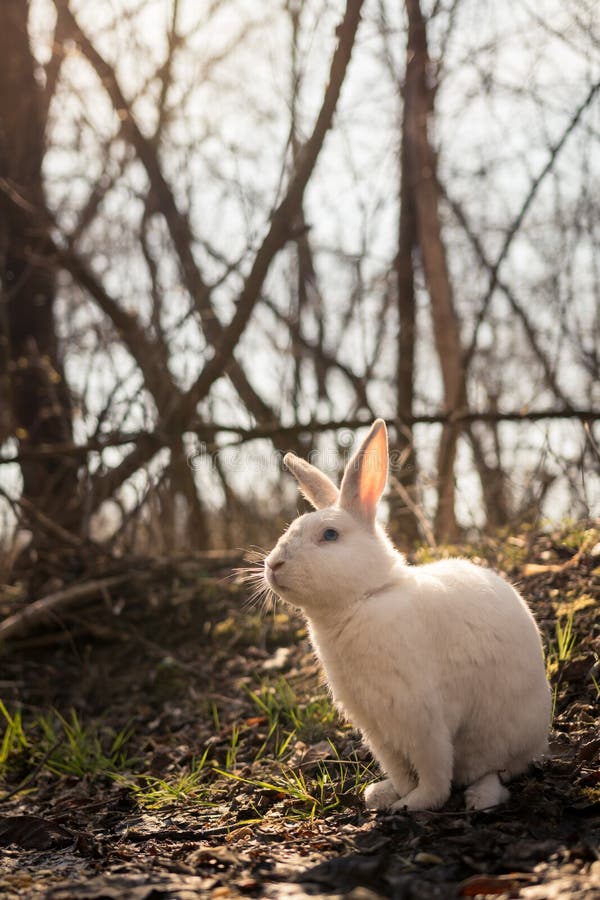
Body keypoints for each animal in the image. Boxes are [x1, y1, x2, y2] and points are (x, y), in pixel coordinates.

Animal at [263, 419, 551, 812]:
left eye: (330, 535)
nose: (273, 565)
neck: (364, 599)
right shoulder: (375, 725)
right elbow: (398, 768)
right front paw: (387, 795)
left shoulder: (421, 716)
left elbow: (433, 772)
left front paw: (414, 804)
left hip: (494, 738)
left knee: (495, 772)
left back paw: (479, 799)